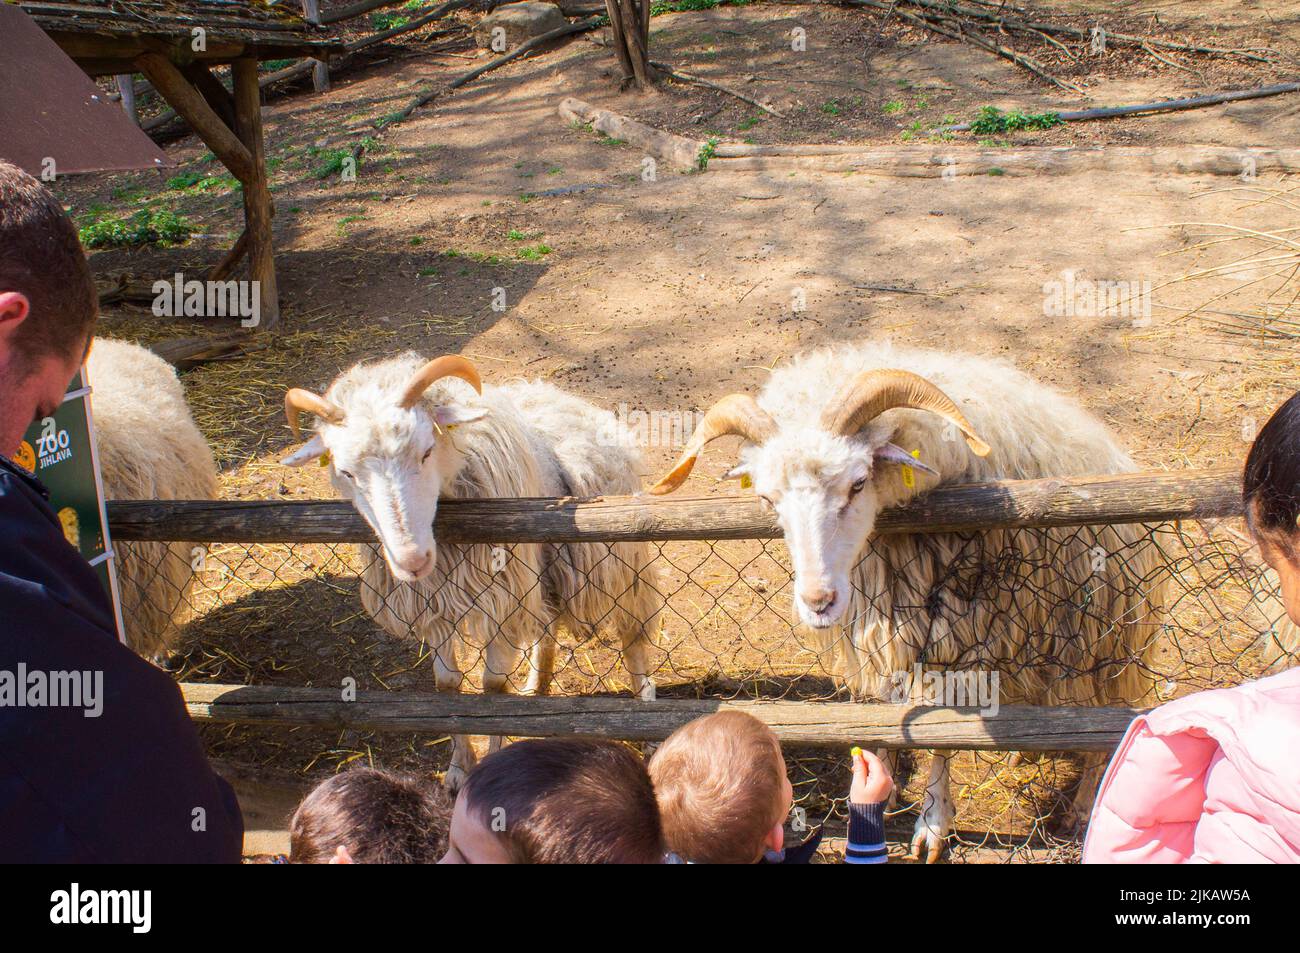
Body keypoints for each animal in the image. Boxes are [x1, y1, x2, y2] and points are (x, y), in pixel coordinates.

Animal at [281, 353, 662, 789]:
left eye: (426, 451)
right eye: (346, 473)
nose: (412, 561)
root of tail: (551, 392)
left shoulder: (502, 599)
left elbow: (492, 688)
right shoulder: (437, 604)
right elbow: (447, 686)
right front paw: (459, 768)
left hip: (618, 560)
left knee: (633, 634)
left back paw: (646, 714)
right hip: (540, 569)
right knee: (545, 627)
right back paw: (537, 684)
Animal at [650, 341, 1166, 862]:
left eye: (858, 482)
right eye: (767, 498)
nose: (818, 602)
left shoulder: (962, 635)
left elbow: (942, 734)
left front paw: (933, 823)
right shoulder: (889, 624)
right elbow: (887, 709)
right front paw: (880, 781)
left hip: (1105, 638)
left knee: (1106, 720)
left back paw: (1083, 807)